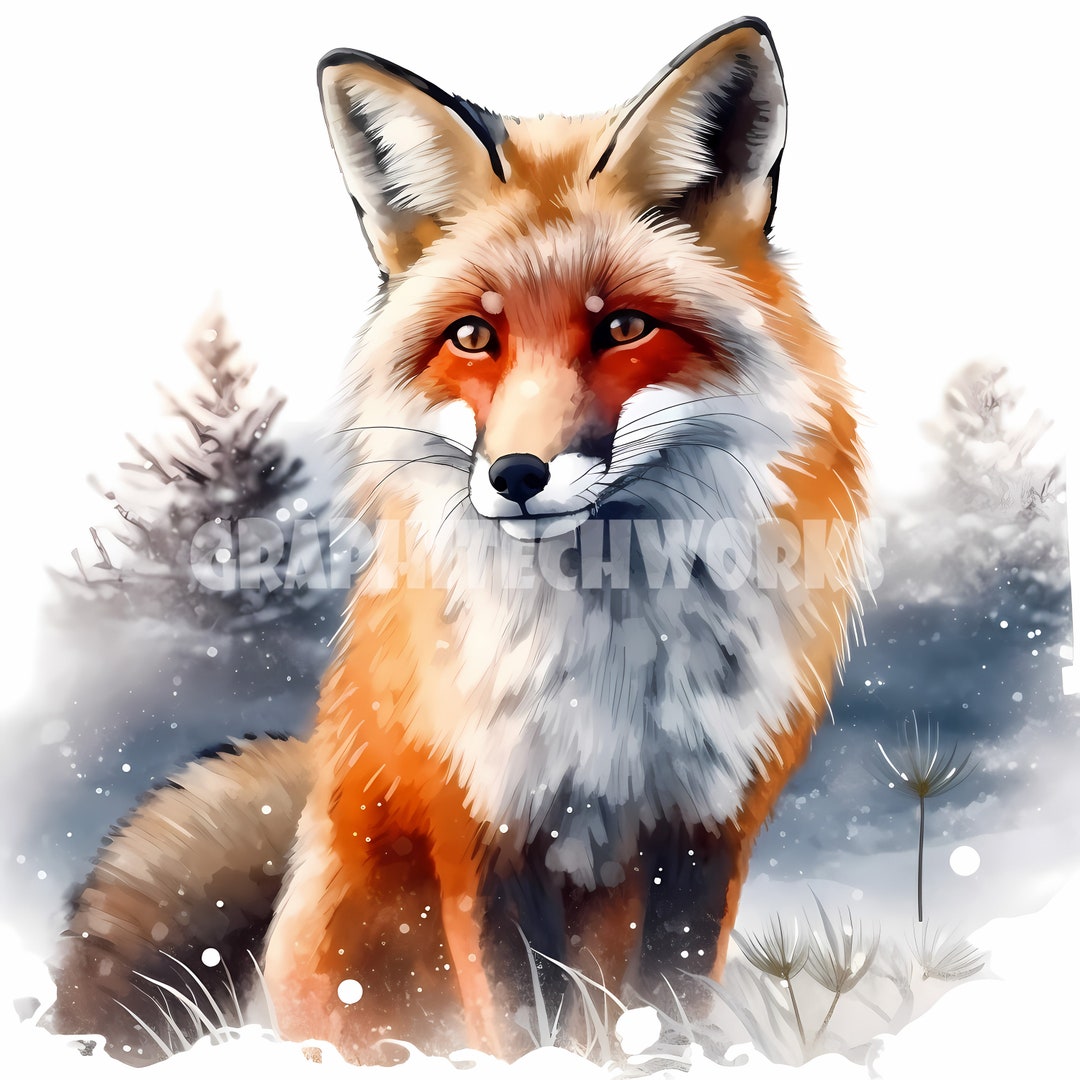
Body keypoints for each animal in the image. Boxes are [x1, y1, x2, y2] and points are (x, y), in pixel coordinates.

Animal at [47, 15, 865, 1065]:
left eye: (624, 328)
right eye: (475, 336)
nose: (517, 475)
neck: (606, 663)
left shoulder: (705, 827)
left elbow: (665, 1015)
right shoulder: (481, 827)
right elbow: (519, 1027)